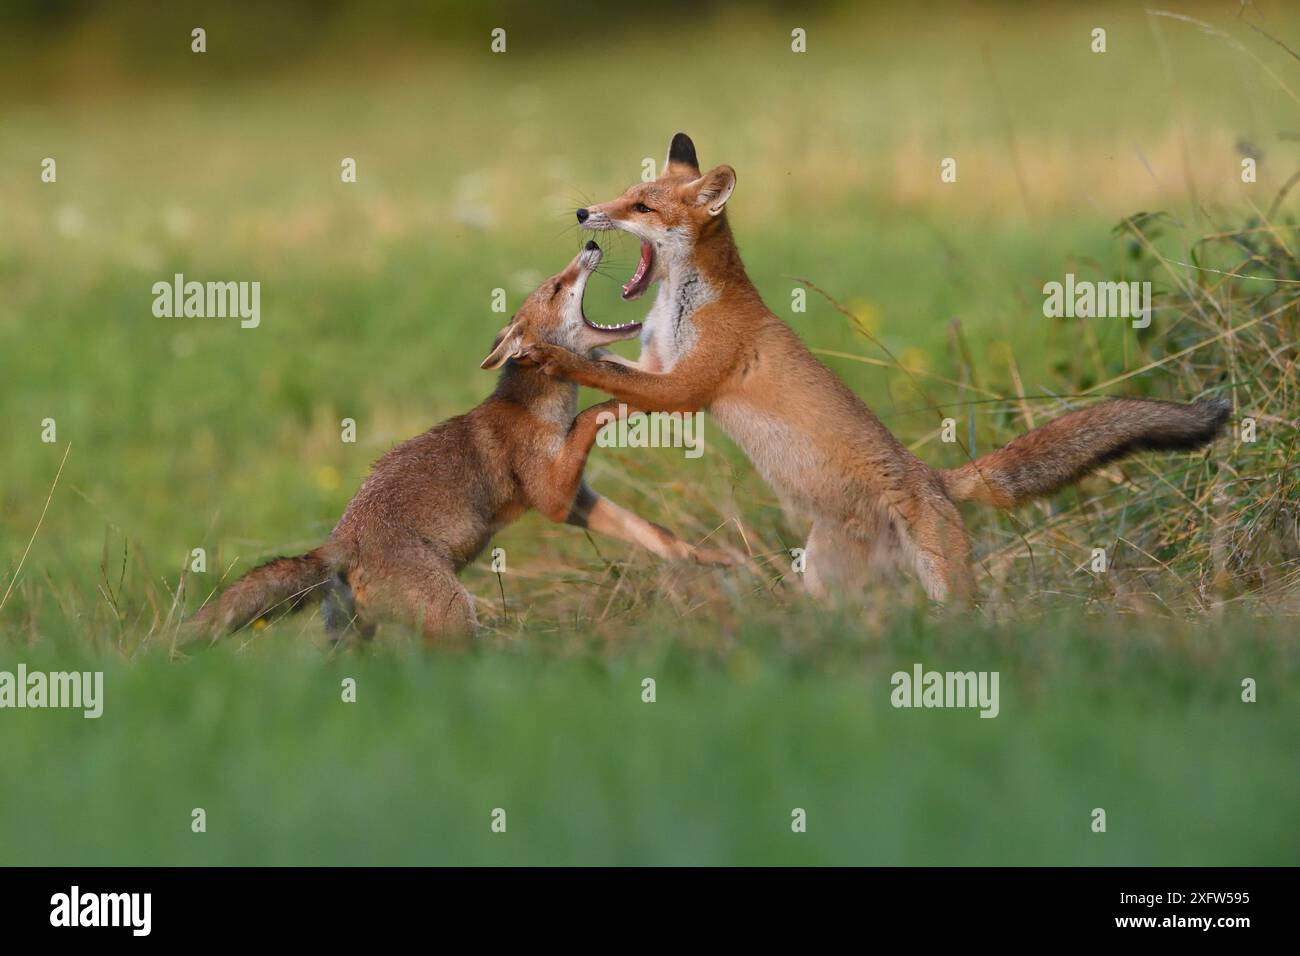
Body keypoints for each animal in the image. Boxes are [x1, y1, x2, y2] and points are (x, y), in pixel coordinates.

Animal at [190, 241, 726, 641]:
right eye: (558, 287)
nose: (590, 244)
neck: (539, 412)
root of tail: (339, 542)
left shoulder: (577, 499)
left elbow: (652, 532)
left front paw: (712, 560)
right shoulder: (553, 499)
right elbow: (595, 413)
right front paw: (644, 396)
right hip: (454, 616)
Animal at [524, 132, 1232, 602]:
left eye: (642, 207)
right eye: (624, 193)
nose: (585, 212)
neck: (682, 304)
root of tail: (933, 478)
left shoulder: (689, 385)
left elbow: (605, 376)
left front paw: (548, 354)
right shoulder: (657, 364)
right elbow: (610, 373)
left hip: (946, 586)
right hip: (826, 580)